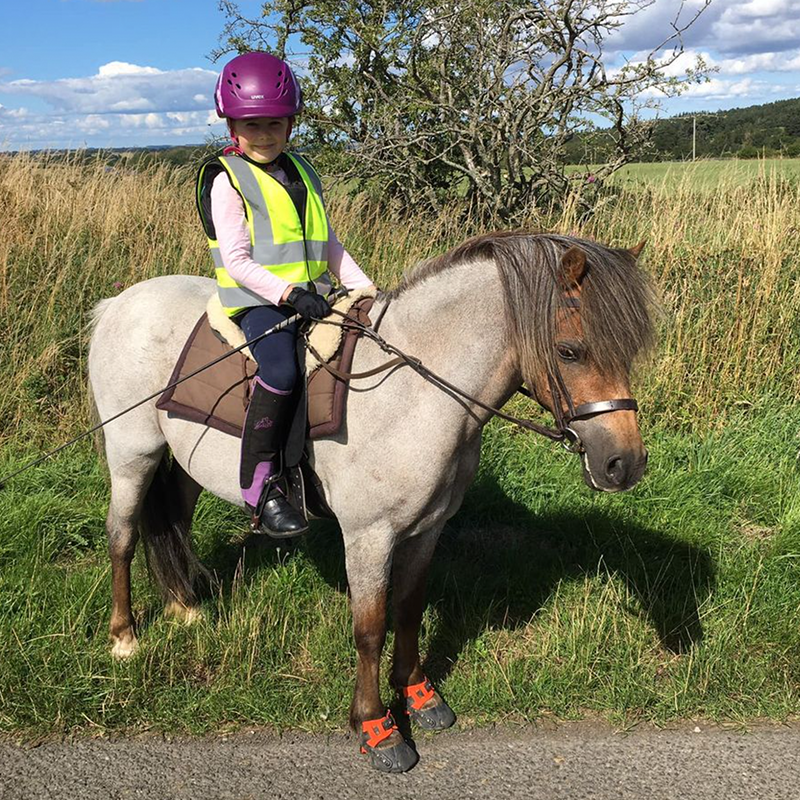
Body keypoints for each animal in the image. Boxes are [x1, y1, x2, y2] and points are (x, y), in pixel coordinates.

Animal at [87, 231, 655, 773]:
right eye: (570, 351)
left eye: (628, 350)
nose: (623, 464)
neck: (411, 394)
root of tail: (118, 303)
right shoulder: (369, 536)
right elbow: (369, 630)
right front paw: (376, 727)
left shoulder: (427, 529)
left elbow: (408, 609)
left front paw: (420, 695)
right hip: (131, 452)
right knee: (122, 535)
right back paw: (124, 638)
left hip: (184, 461)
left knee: (175, 523)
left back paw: (184, 608)